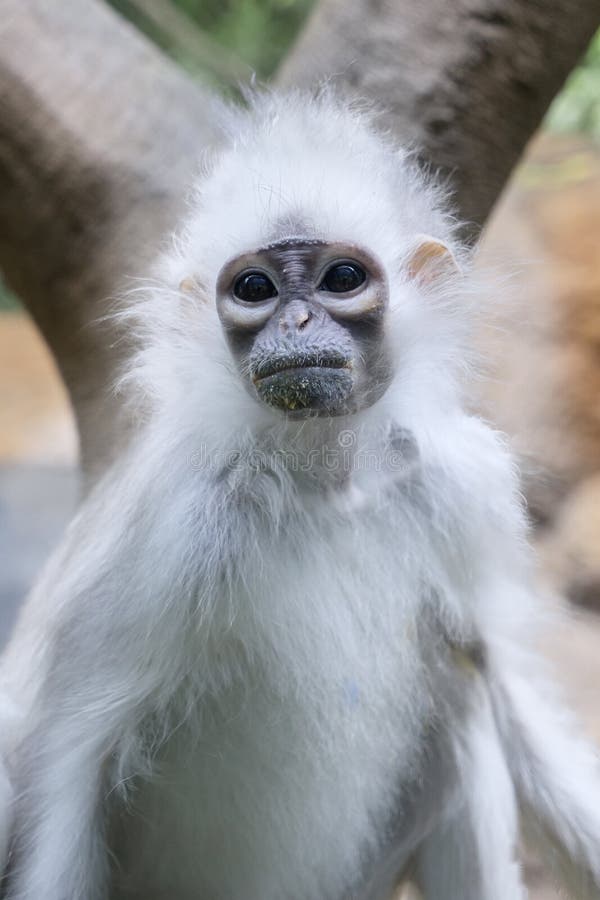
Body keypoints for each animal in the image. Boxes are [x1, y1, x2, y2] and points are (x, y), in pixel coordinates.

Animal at [1, 90, 600, 900]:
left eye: (341, 279)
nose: (299, 319)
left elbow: (506, 683)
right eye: (255, 288)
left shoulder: (458, 482)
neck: (325, 483)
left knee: (462, 681)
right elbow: (67, 763)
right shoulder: (179, 523)